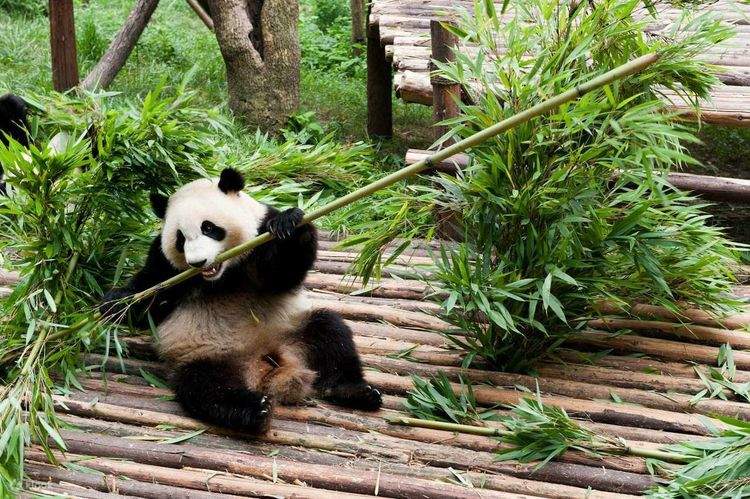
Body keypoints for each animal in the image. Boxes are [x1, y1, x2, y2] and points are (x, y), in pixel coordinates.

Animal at [101, 168, 382, 433]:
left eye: (208, 228)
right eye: (180, 239)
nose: (198, 262)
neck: (222, 276)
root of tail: (266, 365)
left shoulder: (260, 233)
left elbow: (284, 271)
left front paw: (289, 224)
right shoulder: (164, 262)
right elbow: (149, 296)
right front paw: (116, 302)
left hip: (294, 330)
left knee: (331, 334)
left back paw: (355, 391)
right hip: (205, 355)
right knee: (206, 386)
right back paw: (255, 409)